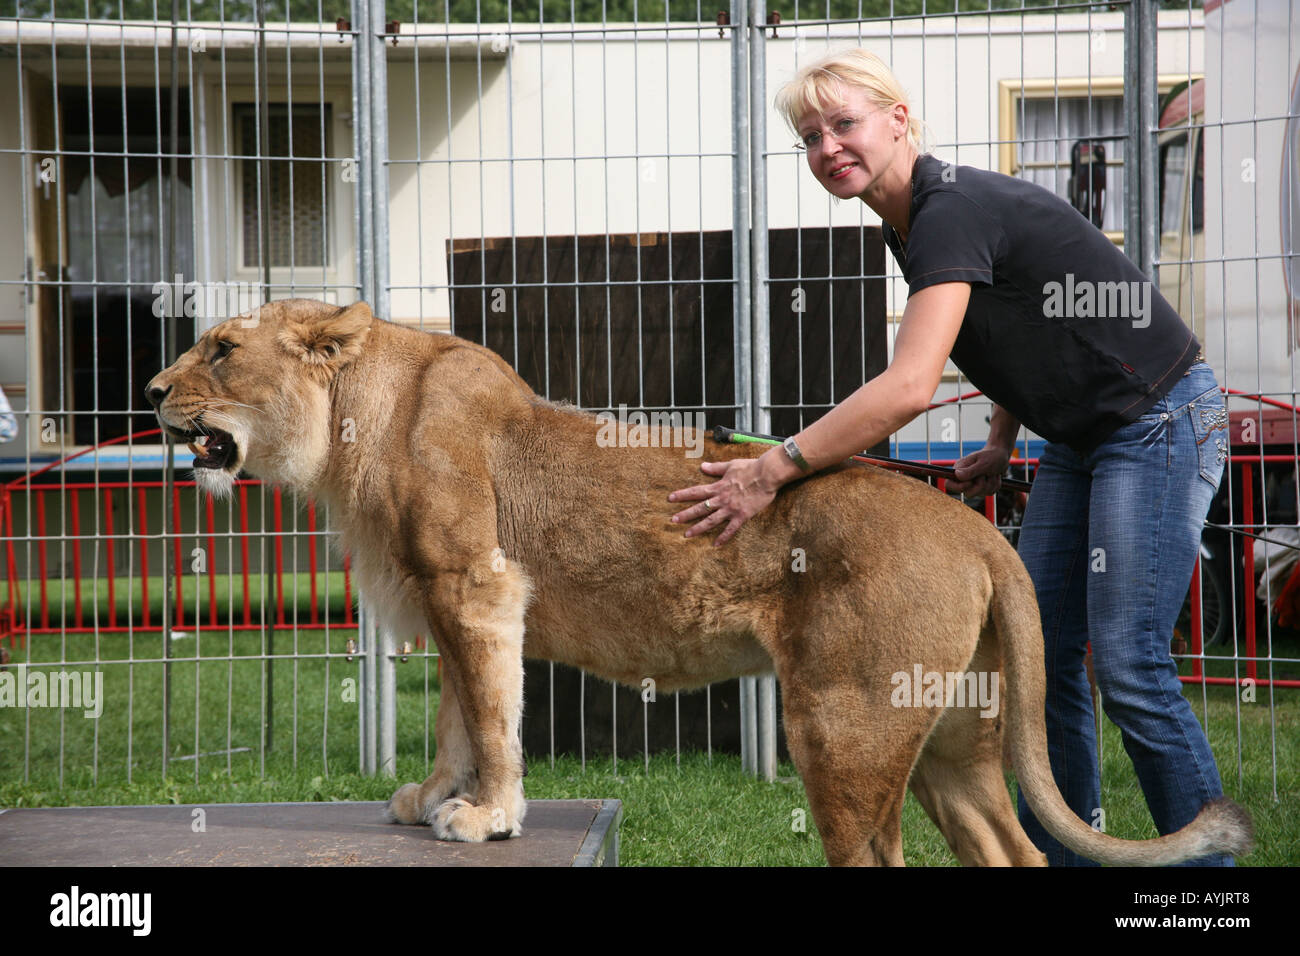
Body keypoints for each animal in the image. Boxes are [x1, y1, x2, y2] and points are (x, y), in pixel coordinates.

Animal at [145, 298, 1253, 866]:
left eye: (222, 348)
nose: (150, 391)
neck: (349, 425)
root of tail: (981, 536)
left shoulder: (477, 587)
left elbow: (492, 718)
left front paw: (488, 815)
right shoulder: (453, 601)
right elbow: (459, 712)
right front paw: (435, 799)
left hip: (845, 733)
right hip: (951, 744)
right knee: (1010, 851)